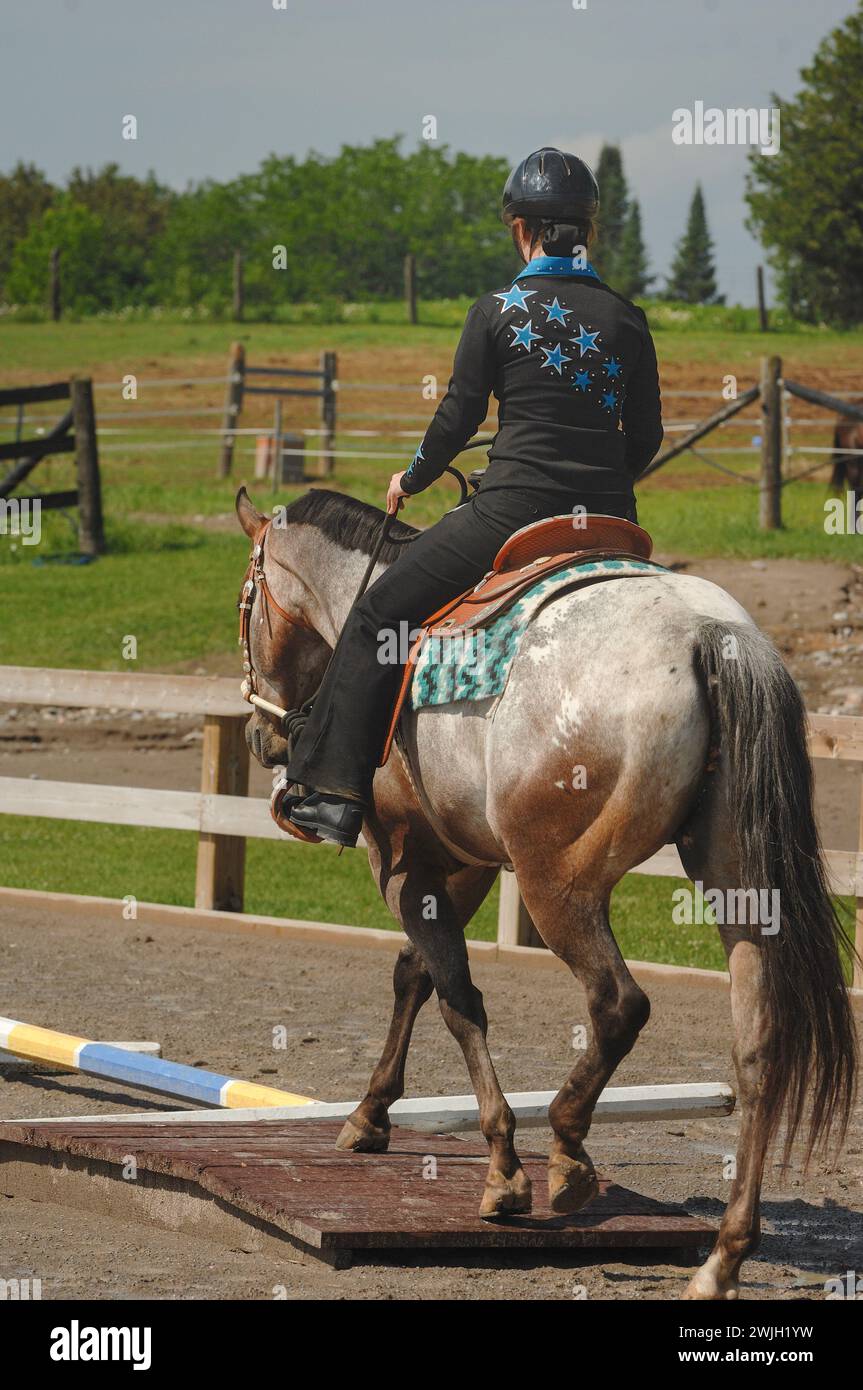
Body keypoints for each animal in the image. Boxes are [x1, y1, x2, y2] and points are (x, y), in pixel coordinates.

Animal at [235, 484, 857, 1301]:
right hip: (738, 886)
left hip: (554, 885)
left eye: (244, 604)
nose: (262, 737)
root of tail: (708, 636)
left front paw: (503, 1173)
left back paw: (566, 1151)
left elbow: (457, 999)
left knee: (619, 1004)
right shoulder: (460, 862)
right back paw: (722, 1256)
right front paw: (370, 1115)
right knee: (756, 1045)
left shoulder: (407, 865)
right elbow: (416, 977)